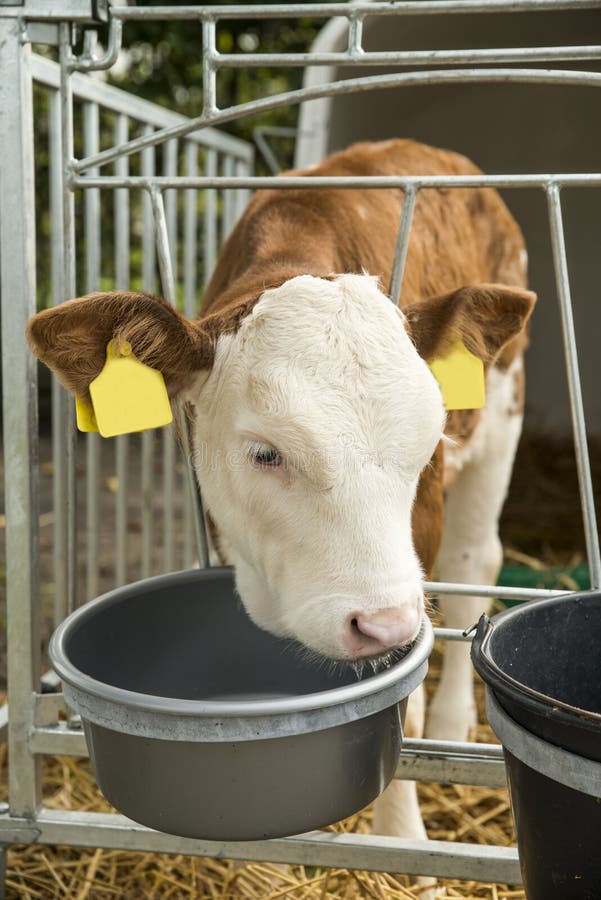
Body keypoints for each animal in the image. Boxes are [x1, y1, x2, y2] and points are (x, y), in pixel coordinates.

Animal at [27, 139, 535, 892]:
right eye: (265, 452)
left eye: (426, 443)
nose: (382, 622)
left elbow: (404, 691)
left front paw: (404, 845)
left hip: (502, 411)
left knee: (475, 563)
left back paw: (450, 728)